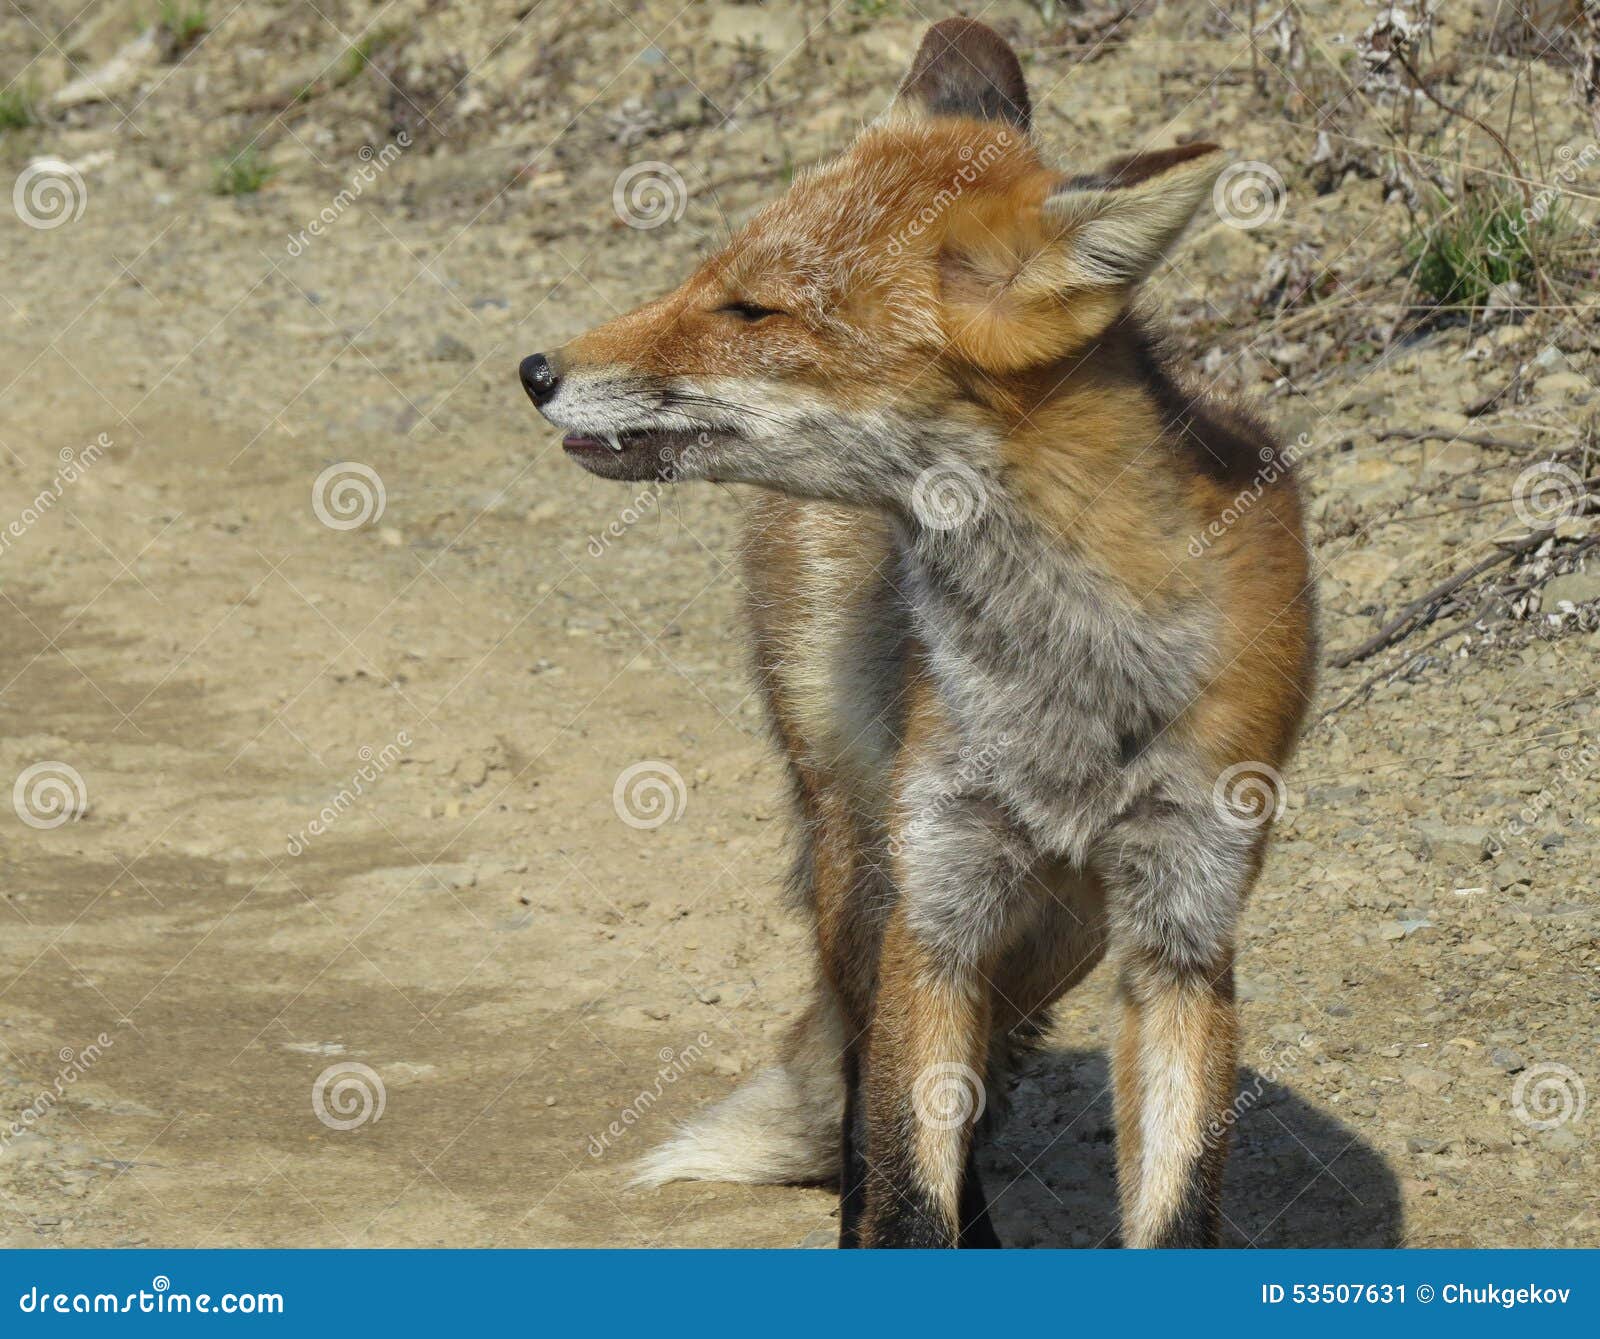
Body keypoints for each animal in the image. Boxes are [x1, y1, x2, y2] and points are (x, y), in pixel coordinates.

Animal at [519, 19, 1316, 1248]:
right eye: (706, 279)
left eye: (752, 311)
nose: (536, 370)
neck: (1071, 674)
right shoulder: (938, 907)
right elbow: (906, 1181)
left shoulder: (1181, 928)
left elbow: (1177, 1205)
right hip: (869, 851)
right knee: (864, 1089)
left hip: (1057, 925)